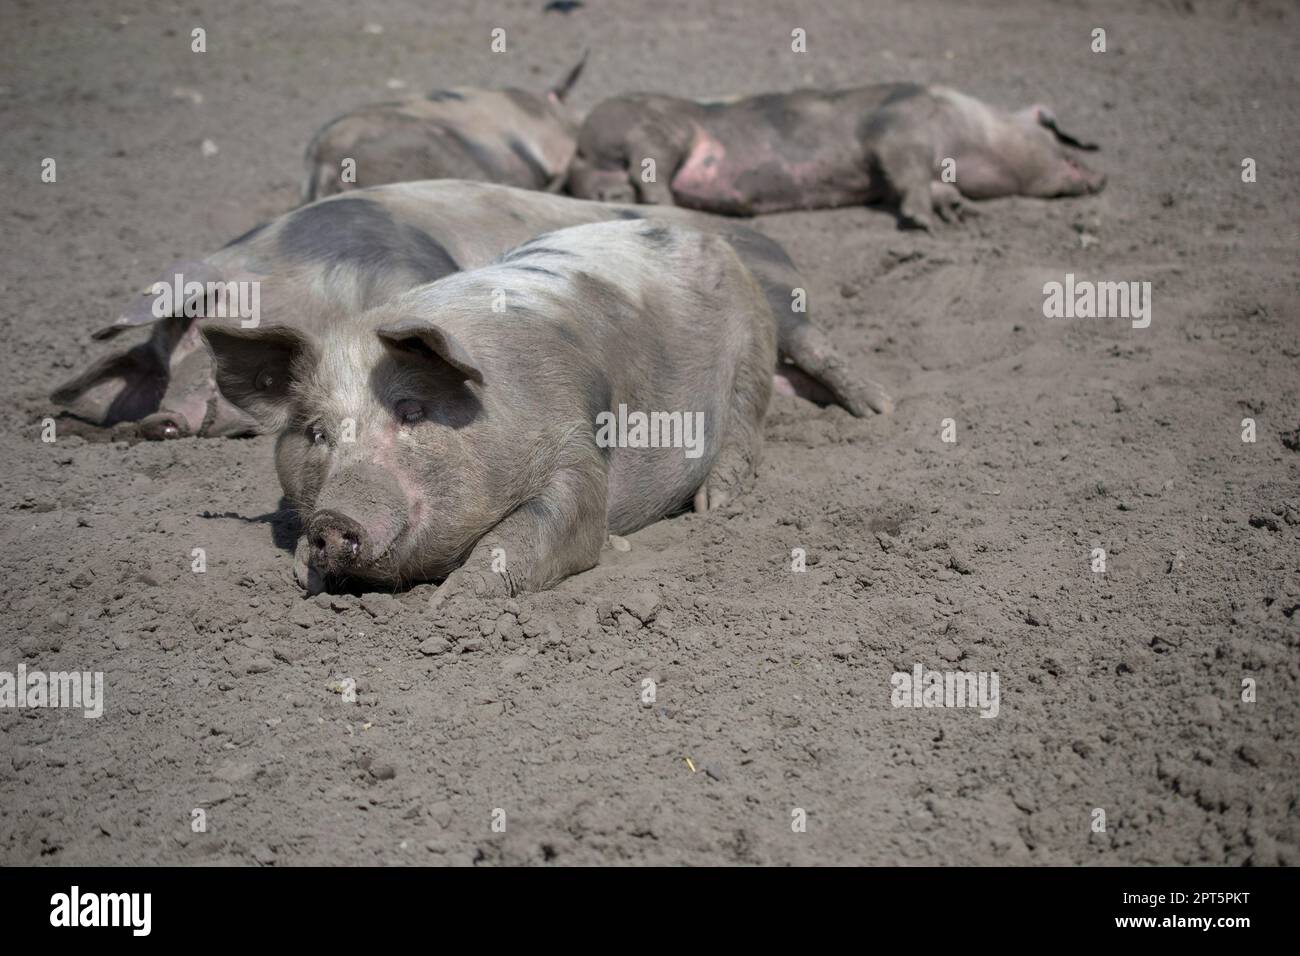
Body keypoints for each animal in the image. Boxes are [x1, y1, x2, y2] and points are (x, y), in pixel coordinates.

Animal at [50, 181, 891, 439]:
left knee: (819, 348)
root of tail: (775, 248)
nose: (163, 414)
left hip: (783, 309)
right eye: (166, 338)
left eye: (201, 321)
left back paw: (878, 411)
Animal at [201, 221, 777, 596]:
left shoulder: (577, 450)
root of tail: (702, 235)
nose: (333, 519)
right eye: (318, 432)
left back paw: (714, 507)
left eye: (411, 412)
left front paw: (449, 604)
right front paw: (305, 575)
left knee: (745, 425)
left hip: (754, 349)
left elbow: (540, 529)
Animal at [567, 84, 1105, 229]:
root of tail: (580, 146)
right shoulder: (900, 128)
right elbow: (909, 175)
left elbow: (924, 183)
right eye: (1056, 136)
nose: (1100, 178)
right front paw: (925, 223)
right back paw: (665, 204)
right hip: (661, 130)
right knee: (648, 165)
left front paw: (961, 213)